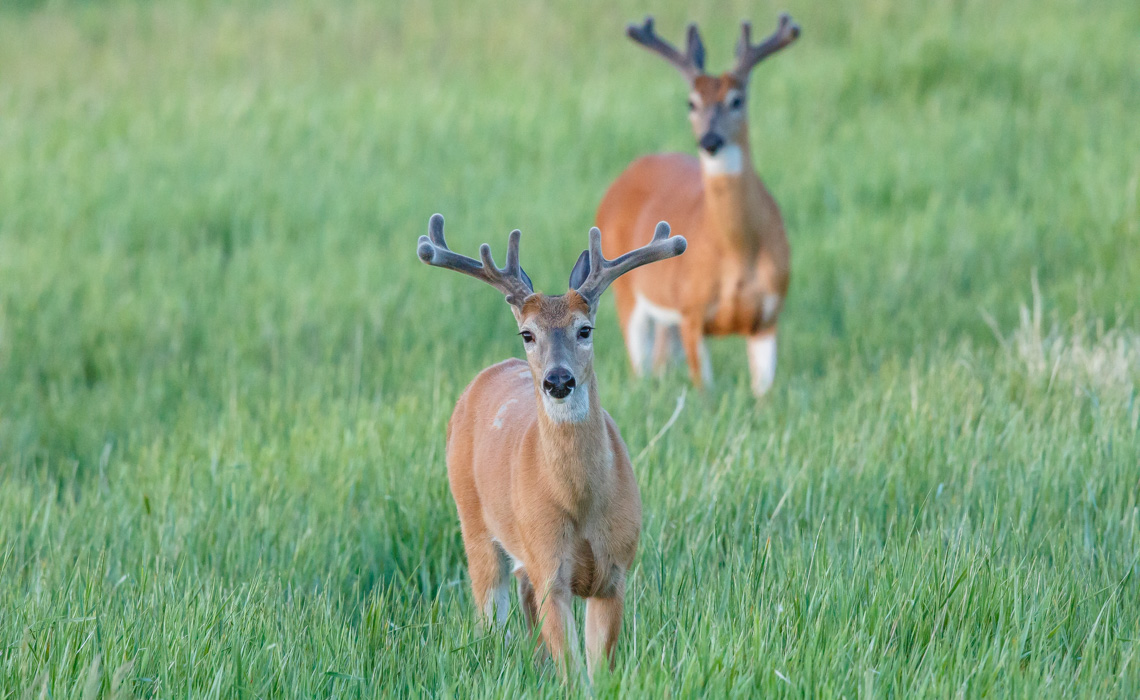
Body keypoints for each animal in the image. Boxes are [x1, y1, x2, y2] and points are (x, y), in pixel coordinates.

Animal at [416, 213, 686, 680]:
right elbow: (573, 671)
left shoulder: (615, 570)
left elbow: (599, 668)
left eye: (585, 329)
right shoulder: (549, 570)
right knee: (492, 615)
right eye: (527, 333)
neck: (581, 503)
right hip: (473, 520)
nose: (558, 379)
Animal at [595, 13, 801, 397]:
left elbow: (763, 394)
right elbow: (705, 392)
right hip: (626, 292)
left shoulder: (768, 315)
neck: (737, 252)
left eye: (737, 99)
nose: (709, 140)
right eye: (691, 102)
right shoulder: (691, 311)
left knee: (659, 362)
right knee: (640, 368)